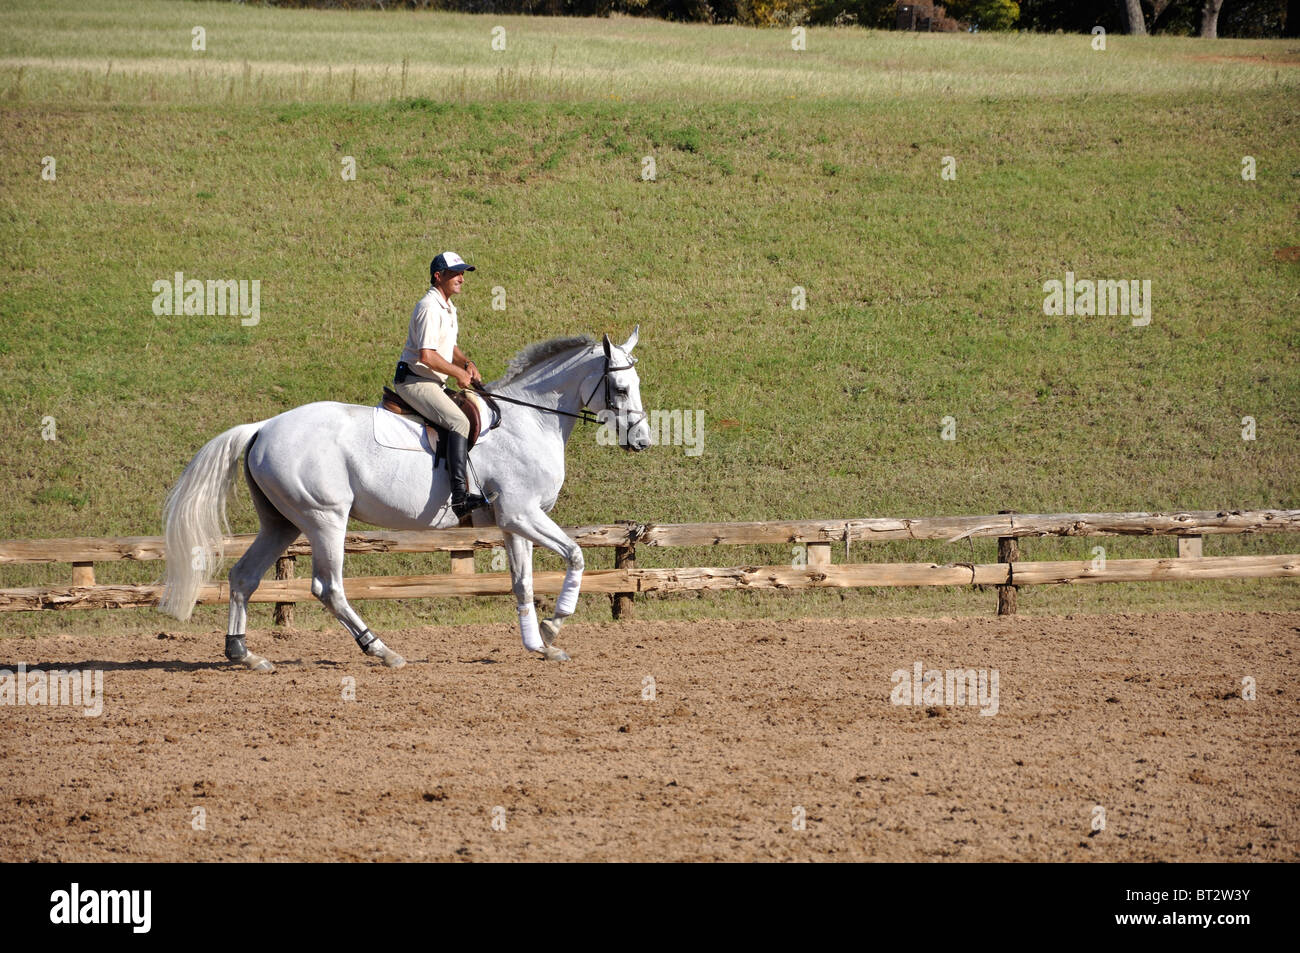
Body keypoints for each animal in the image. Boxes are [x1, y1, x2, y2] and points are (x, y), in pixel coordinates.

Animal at [158, 329, 650, 671]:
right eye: (622, 389)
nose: (643, 441)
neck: (529, 420)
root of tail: (263, 427)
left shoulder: (513, 522)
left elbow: (523, 582)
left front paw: (539, 644)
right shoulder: (523, 513)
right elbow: (576, 555)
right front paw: (554, 624)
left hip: (283, 523)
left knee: (243, 578)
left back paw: (244, 654)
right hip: (324, 519)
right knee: (328, 587)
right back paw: (382, 650)